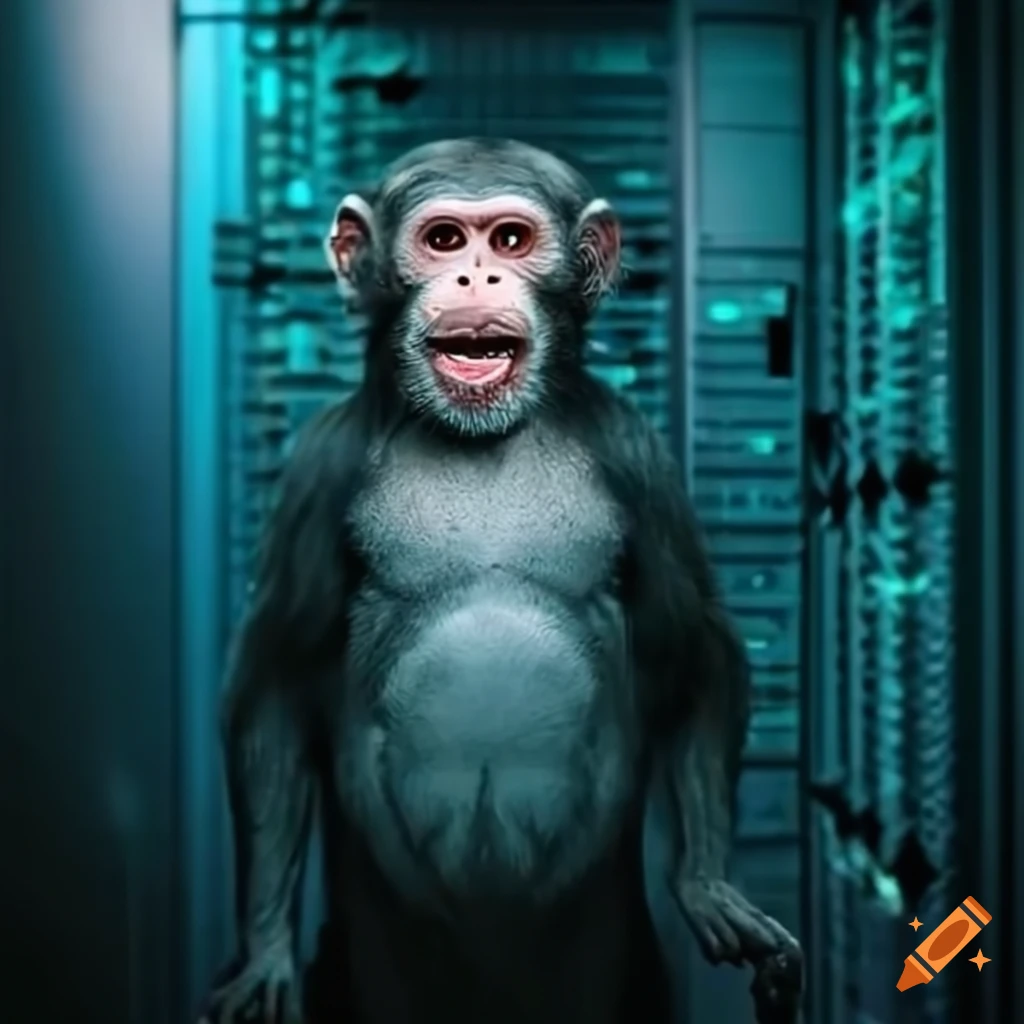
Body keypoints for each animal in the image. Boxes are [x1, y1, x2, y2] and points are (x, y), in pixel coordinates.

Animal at [199, 138, 803, 1024]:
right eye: (444, 240)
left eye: (512, 241)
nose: (475, 276)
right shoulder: (320, 466)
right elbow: (276, 679)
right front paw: (265, 953)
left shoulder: (641, 459)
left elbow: (697, 652)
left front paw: (706, 887)